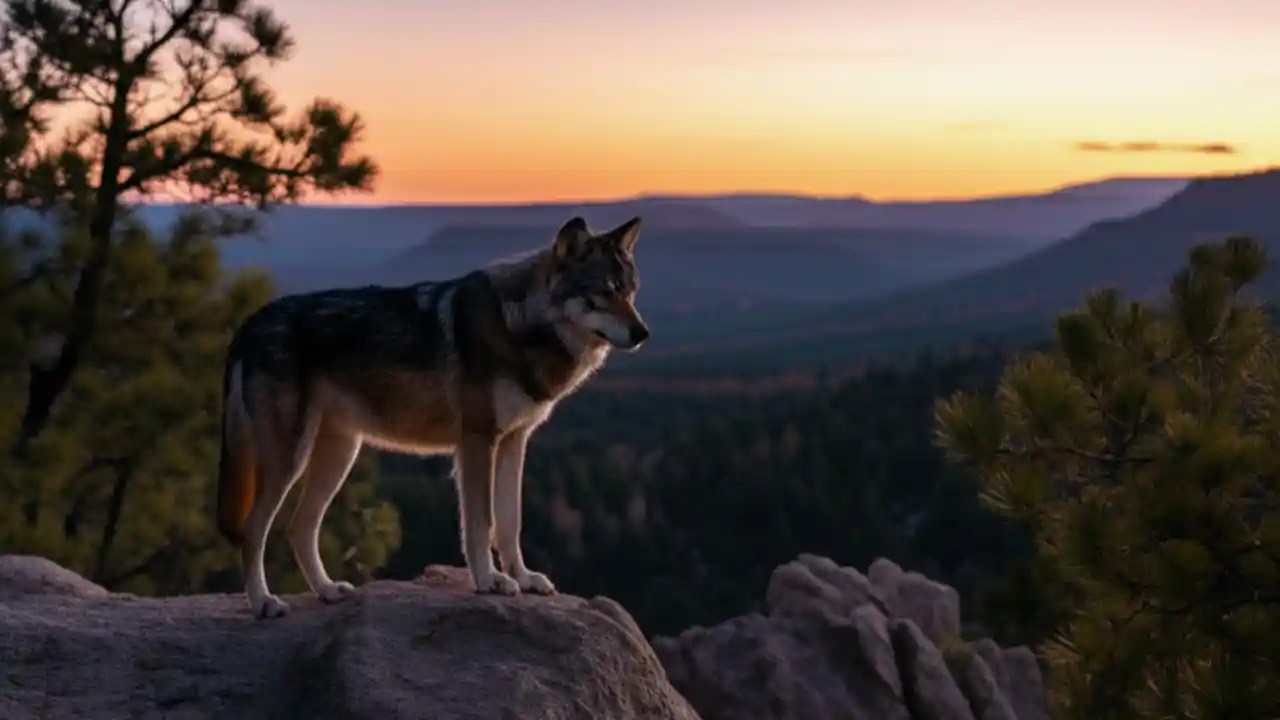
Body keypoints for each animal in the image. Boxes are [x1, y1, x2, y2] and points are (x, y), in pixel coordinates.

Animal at [216, 216, 648, 618]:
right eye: (604, 293)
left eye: (630, 292)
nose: (643, 333)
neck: (521, 323)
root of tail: (249, 321)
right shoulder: (477, 440)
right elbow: (481, 524)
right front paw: (490, 581)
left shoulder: (514, 441)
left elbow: (510, 523)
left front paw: (524, 579)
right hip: (289, 460)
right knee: (253, 531)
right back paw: (263, 603)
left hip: (338, 455)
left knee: (299, 527)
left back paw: (326, 590)